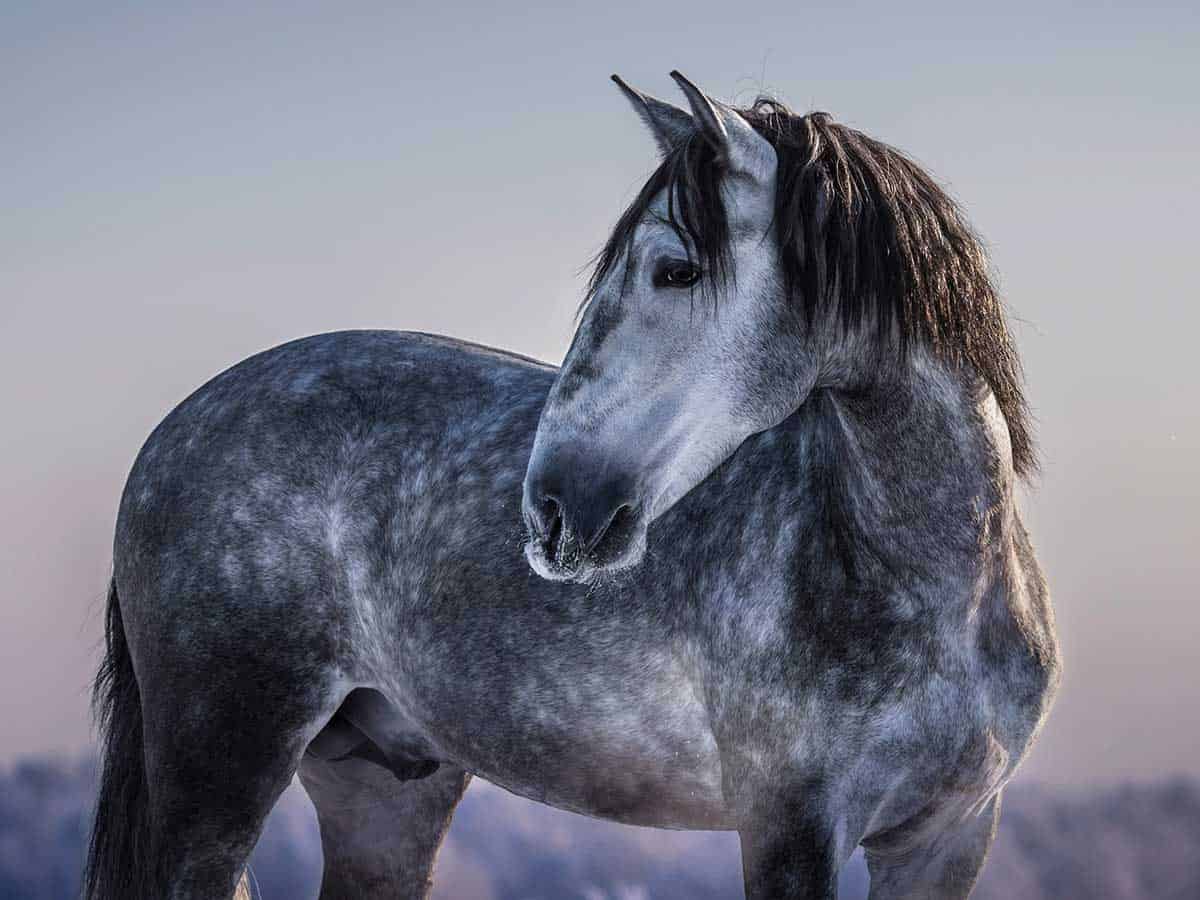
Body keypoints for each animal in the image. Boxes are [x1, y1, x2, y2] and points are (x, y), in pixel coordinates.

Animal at [85, 71, 1060, 899]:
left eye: (676, 269)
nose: (554, 511)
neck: (928, 582)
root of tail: (172, 432)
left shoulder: (947, 839)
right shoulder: (791, 829)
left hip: (386, 787)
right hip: (222, 767)